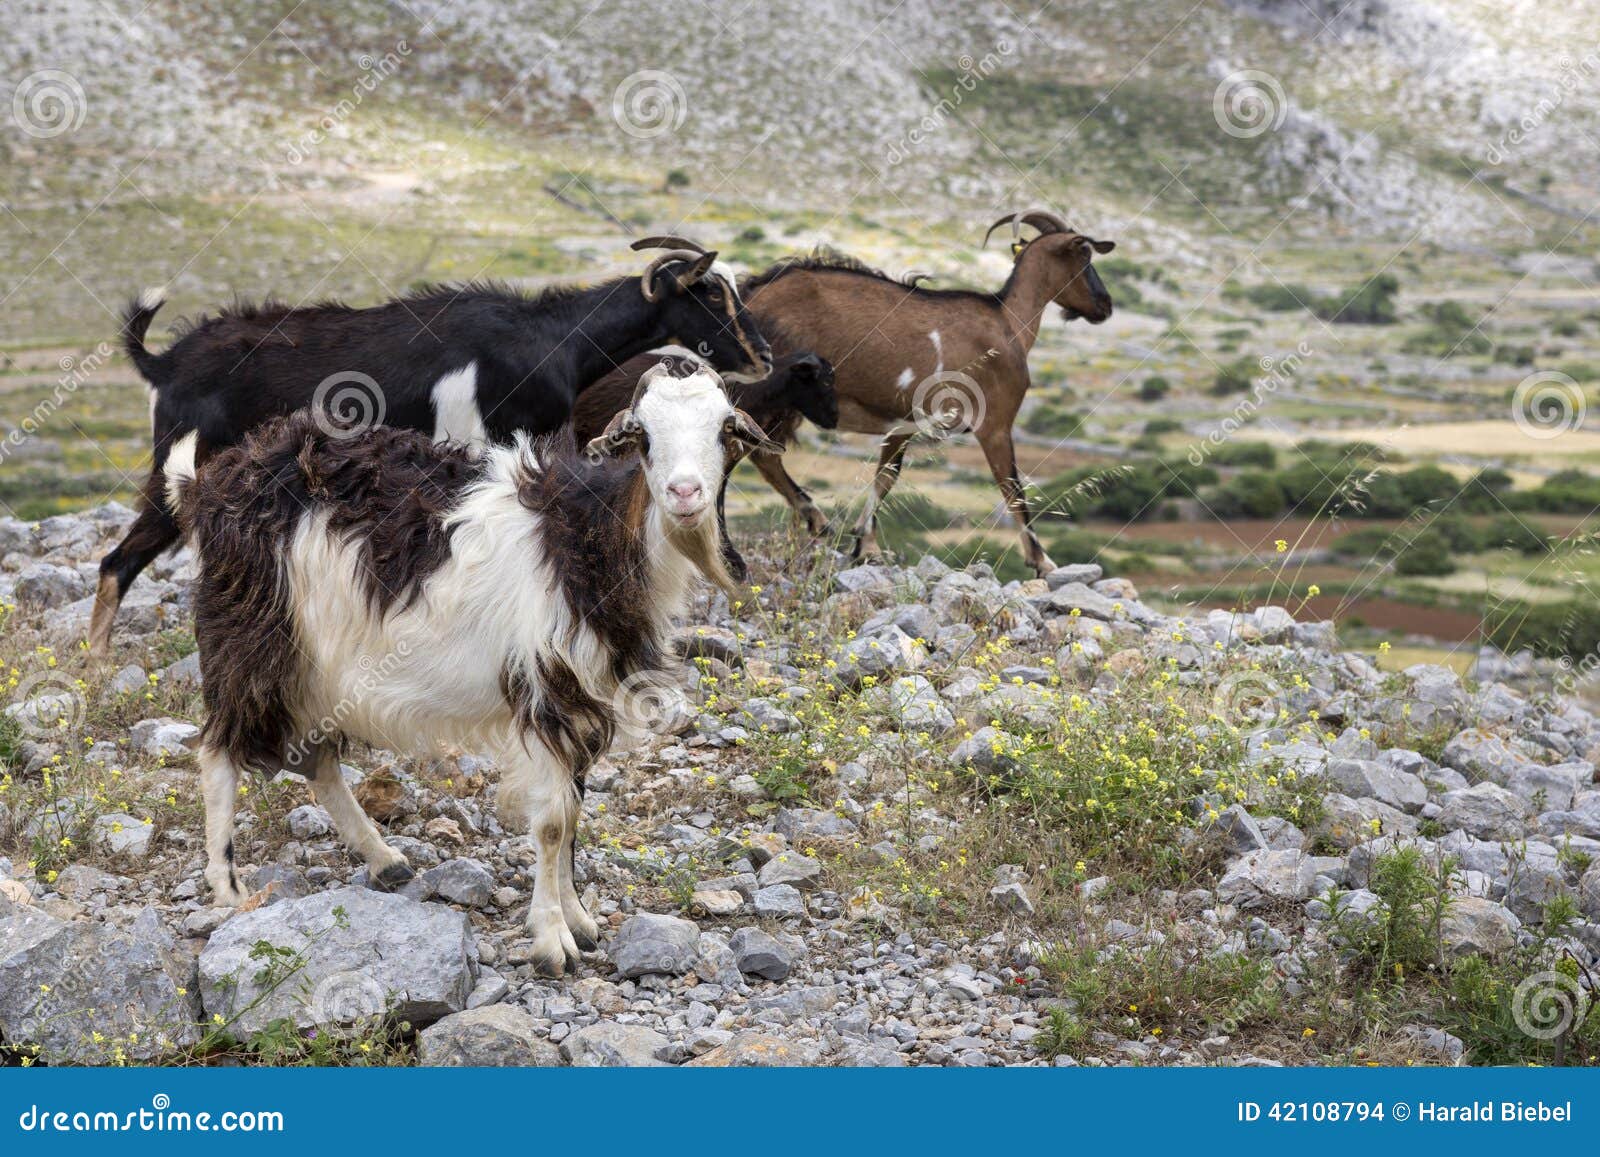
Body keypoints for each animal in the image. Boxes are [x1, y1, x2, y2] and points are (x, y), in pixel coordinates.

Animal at [88, 235, 771, 657]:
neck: (550, 339)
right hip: (181, 466)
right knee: (117, 561)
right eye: (709, 292)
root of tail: (164, 362)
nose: (763, 355)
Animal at [164, 366, 777, 977]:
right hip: (251, 637)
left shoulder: (584, 697)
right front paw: (553, 940)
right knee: (218, 748)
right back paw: (228, 884)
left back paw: (385, 859)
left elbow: (573, 813)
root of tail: (208, 485)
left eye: (724, 430)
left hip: (318, 668)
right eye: (644, 437)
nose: (685, 493)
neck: (585, 539)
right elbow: (552, 823)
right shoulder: (544, 686)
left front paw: (579, 919)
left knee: (316, 761)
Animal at [740, 209, 1115, 577]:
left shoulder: (902, 423)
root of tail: (748, 297)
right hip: (775, 398)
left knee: (762, 454)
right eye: (1084, 254)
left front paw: (866, 546)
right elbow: (1013, 487)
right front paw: (1042, 561)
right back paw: (816, 519)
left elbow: (886, 477)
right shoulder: (995, 423)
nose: (1105, 305)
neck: (1008, 322)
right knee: (760, 453)